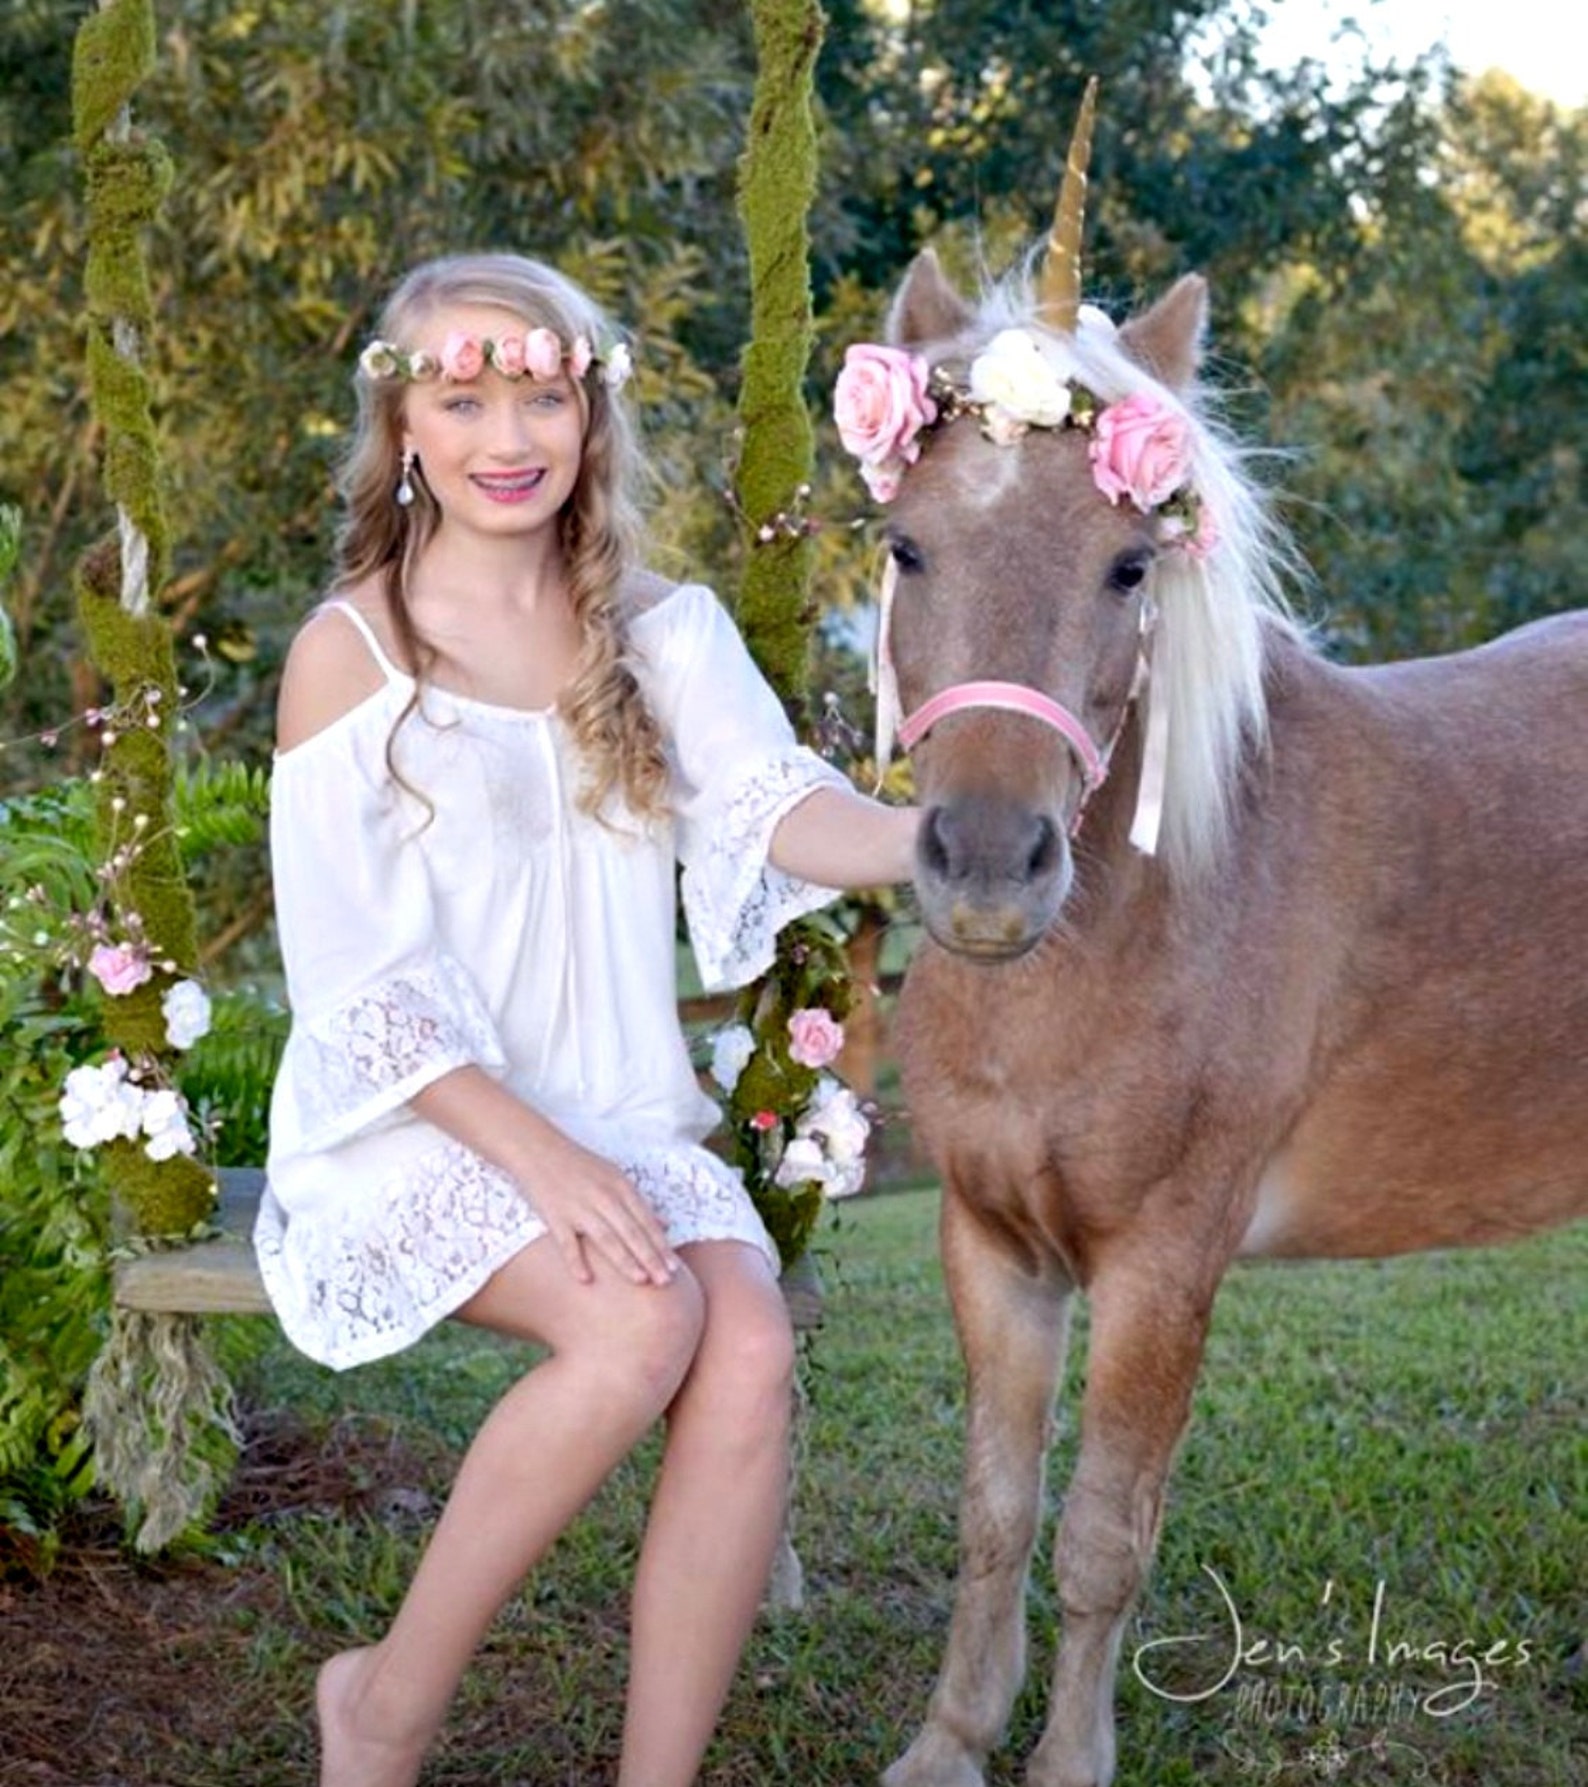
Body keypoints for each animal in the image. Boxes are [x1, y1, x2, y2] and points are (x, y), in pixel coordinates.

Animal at [840, 125, 1588, 1787]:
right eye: (907, 545)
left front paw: (1066, 1756)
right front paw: (947, 1739)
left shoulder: (1163, 1262)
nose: (988, 869)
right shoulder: (994, 1251)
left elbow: (1103, 1538)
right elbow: (996, 1513)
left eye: (1130, 564)